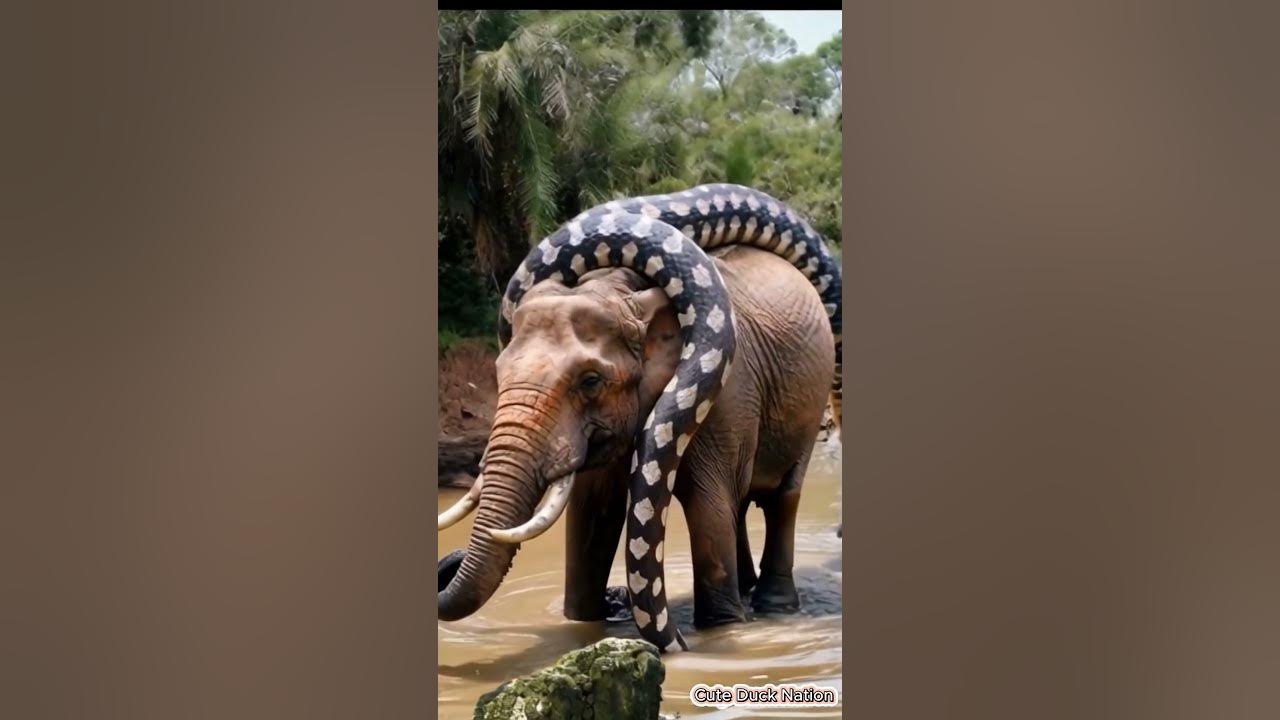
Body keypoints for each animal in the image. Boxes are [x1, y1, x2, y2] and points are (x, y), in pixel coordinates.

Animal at [438, 183, 842, 653]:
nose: (449, 561)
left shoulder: (728, 392)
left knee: (782, 498)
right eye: (498, 373)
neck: (620, 288)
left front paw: (721, 632)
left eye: (591, 381)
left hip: (808, 407)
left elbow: (709, 511)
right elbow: (589, 530)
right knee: (739, 505)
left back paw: (775, 605)